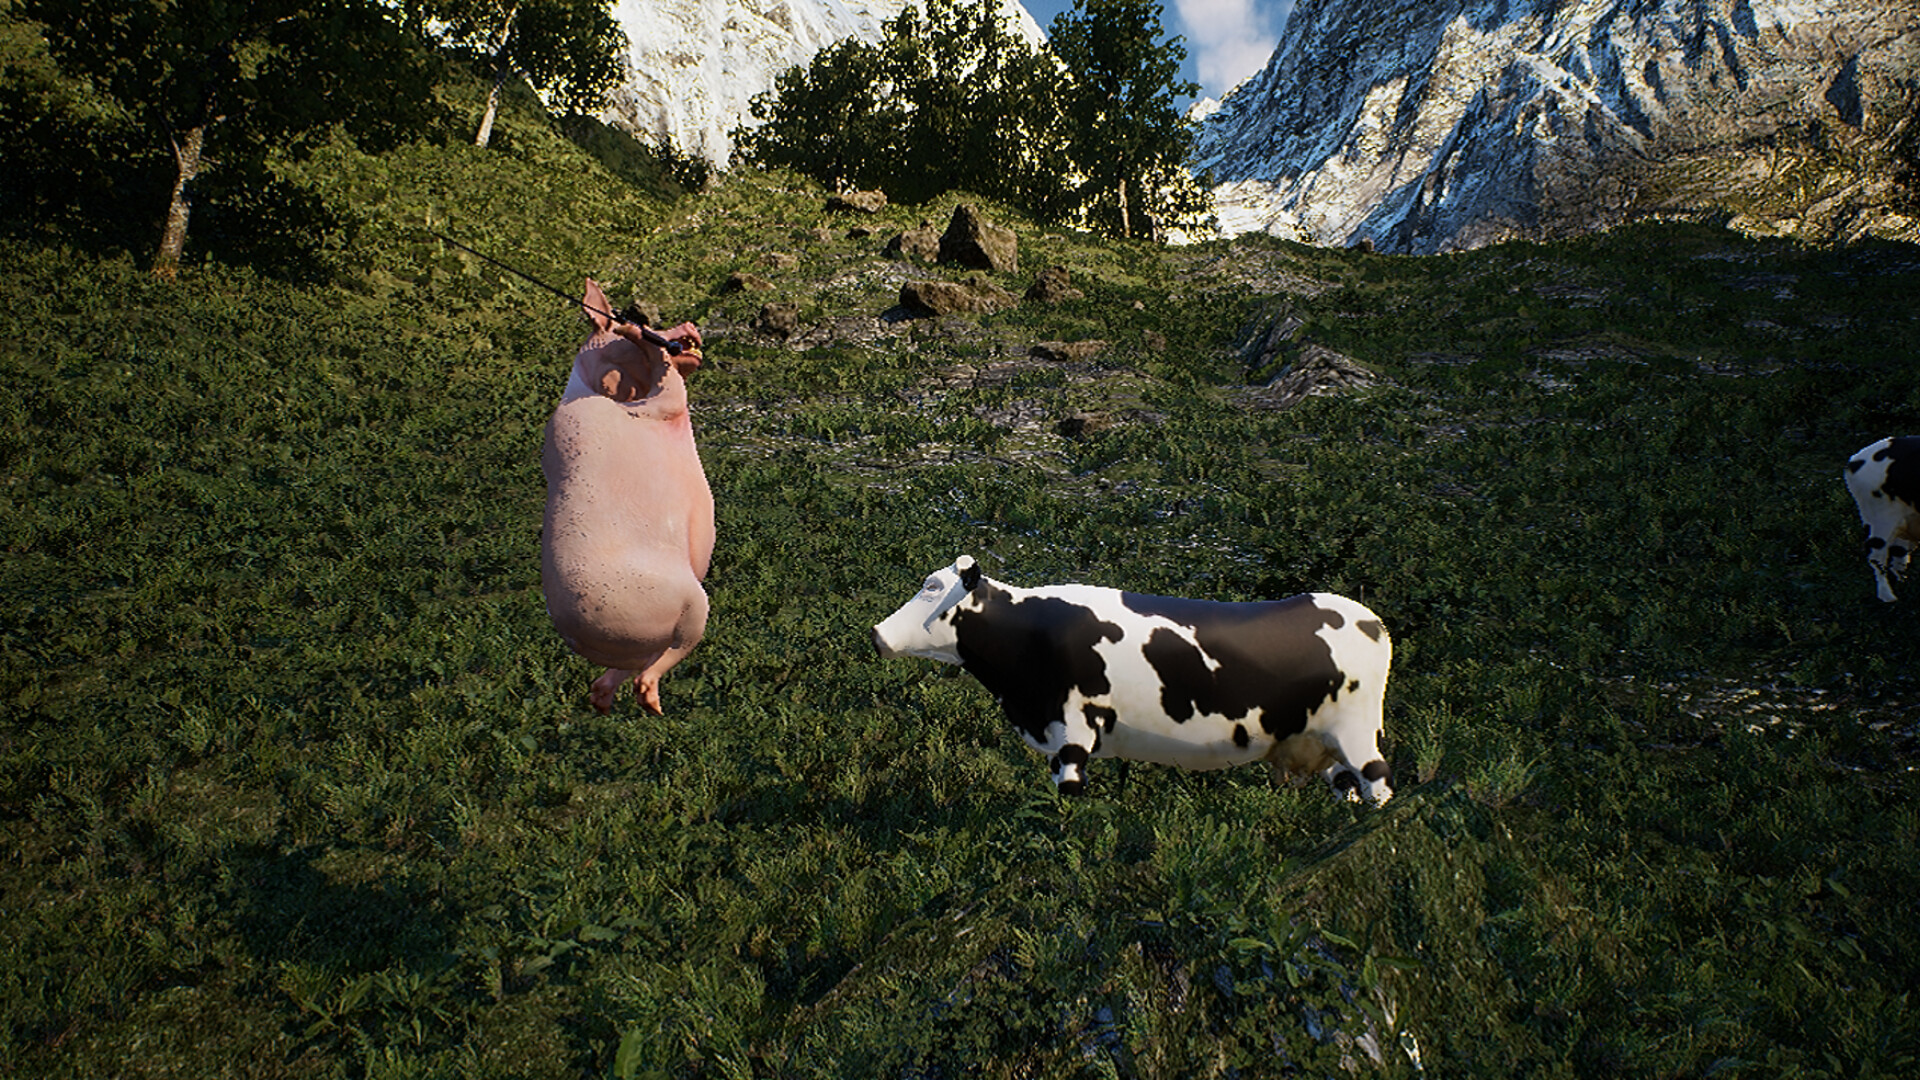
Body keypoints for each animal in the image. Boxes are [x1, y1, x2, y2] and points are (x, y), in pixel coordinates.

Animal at [541, 279, 713, 714]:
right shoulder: (657, 407)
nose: (689, 325)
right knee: (660, 661)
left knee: (624, 671)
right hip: (684, 599)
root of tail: (581, 633)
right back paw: (650, 702)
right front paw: (635, 335)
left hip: (638, 638)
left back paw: (606, 701)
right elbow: (670, 387)